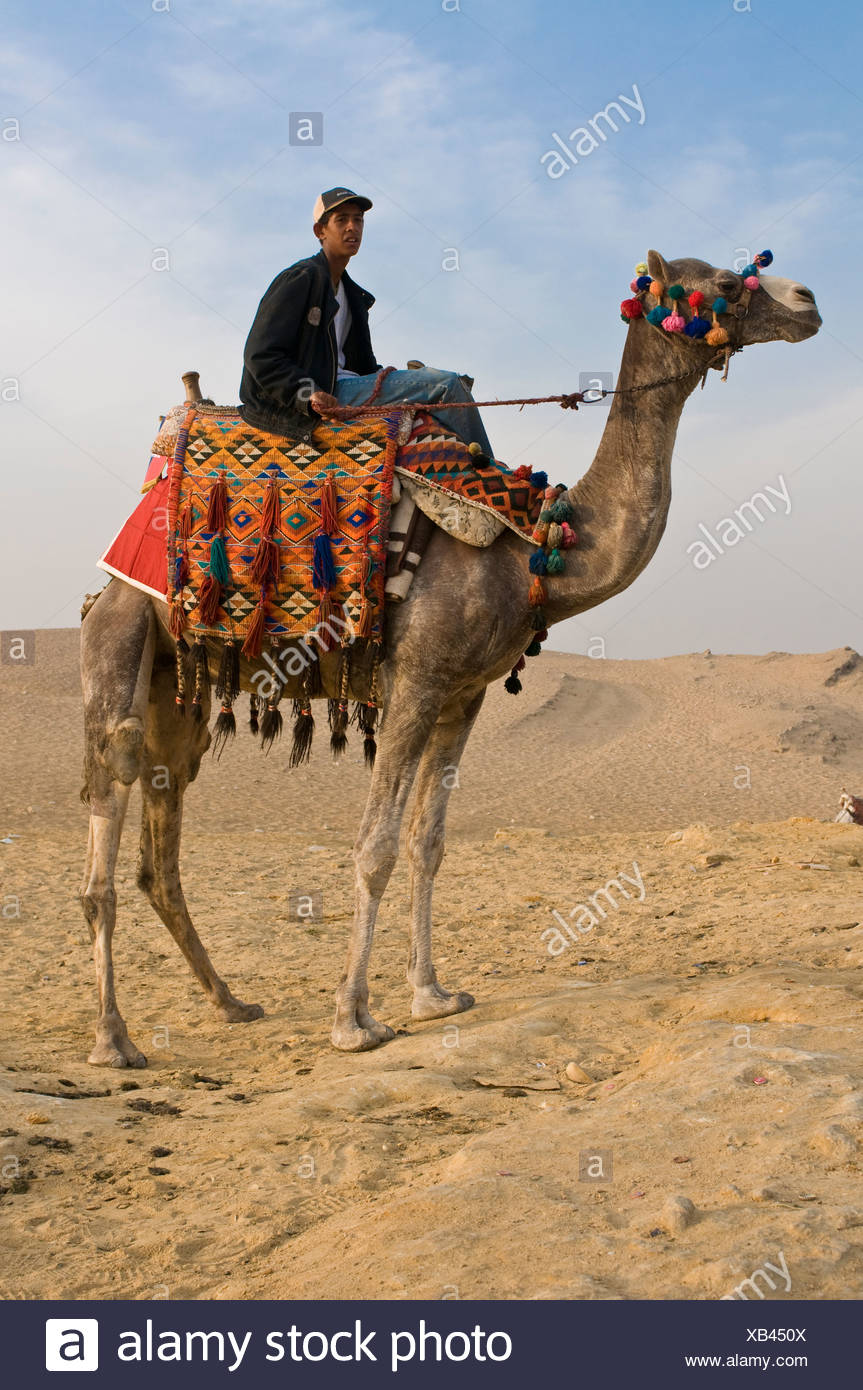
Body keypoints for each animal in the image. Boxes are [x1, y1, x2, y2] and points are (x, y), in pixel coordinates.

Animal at [79, 250, 820, 1065]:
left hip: (176, 681)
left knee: (162, 832)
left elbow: (427, 843)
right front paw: (354, 1020)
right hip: (122, 636)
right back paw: (112, 1036)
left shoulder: (464, 694)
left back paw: (231, 1001)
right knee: (113, 793)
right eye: (722, 282)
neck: (531, 550)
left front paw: (432, 994)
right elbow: (374, 847)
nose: (809, 300)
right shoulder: (416, 680)